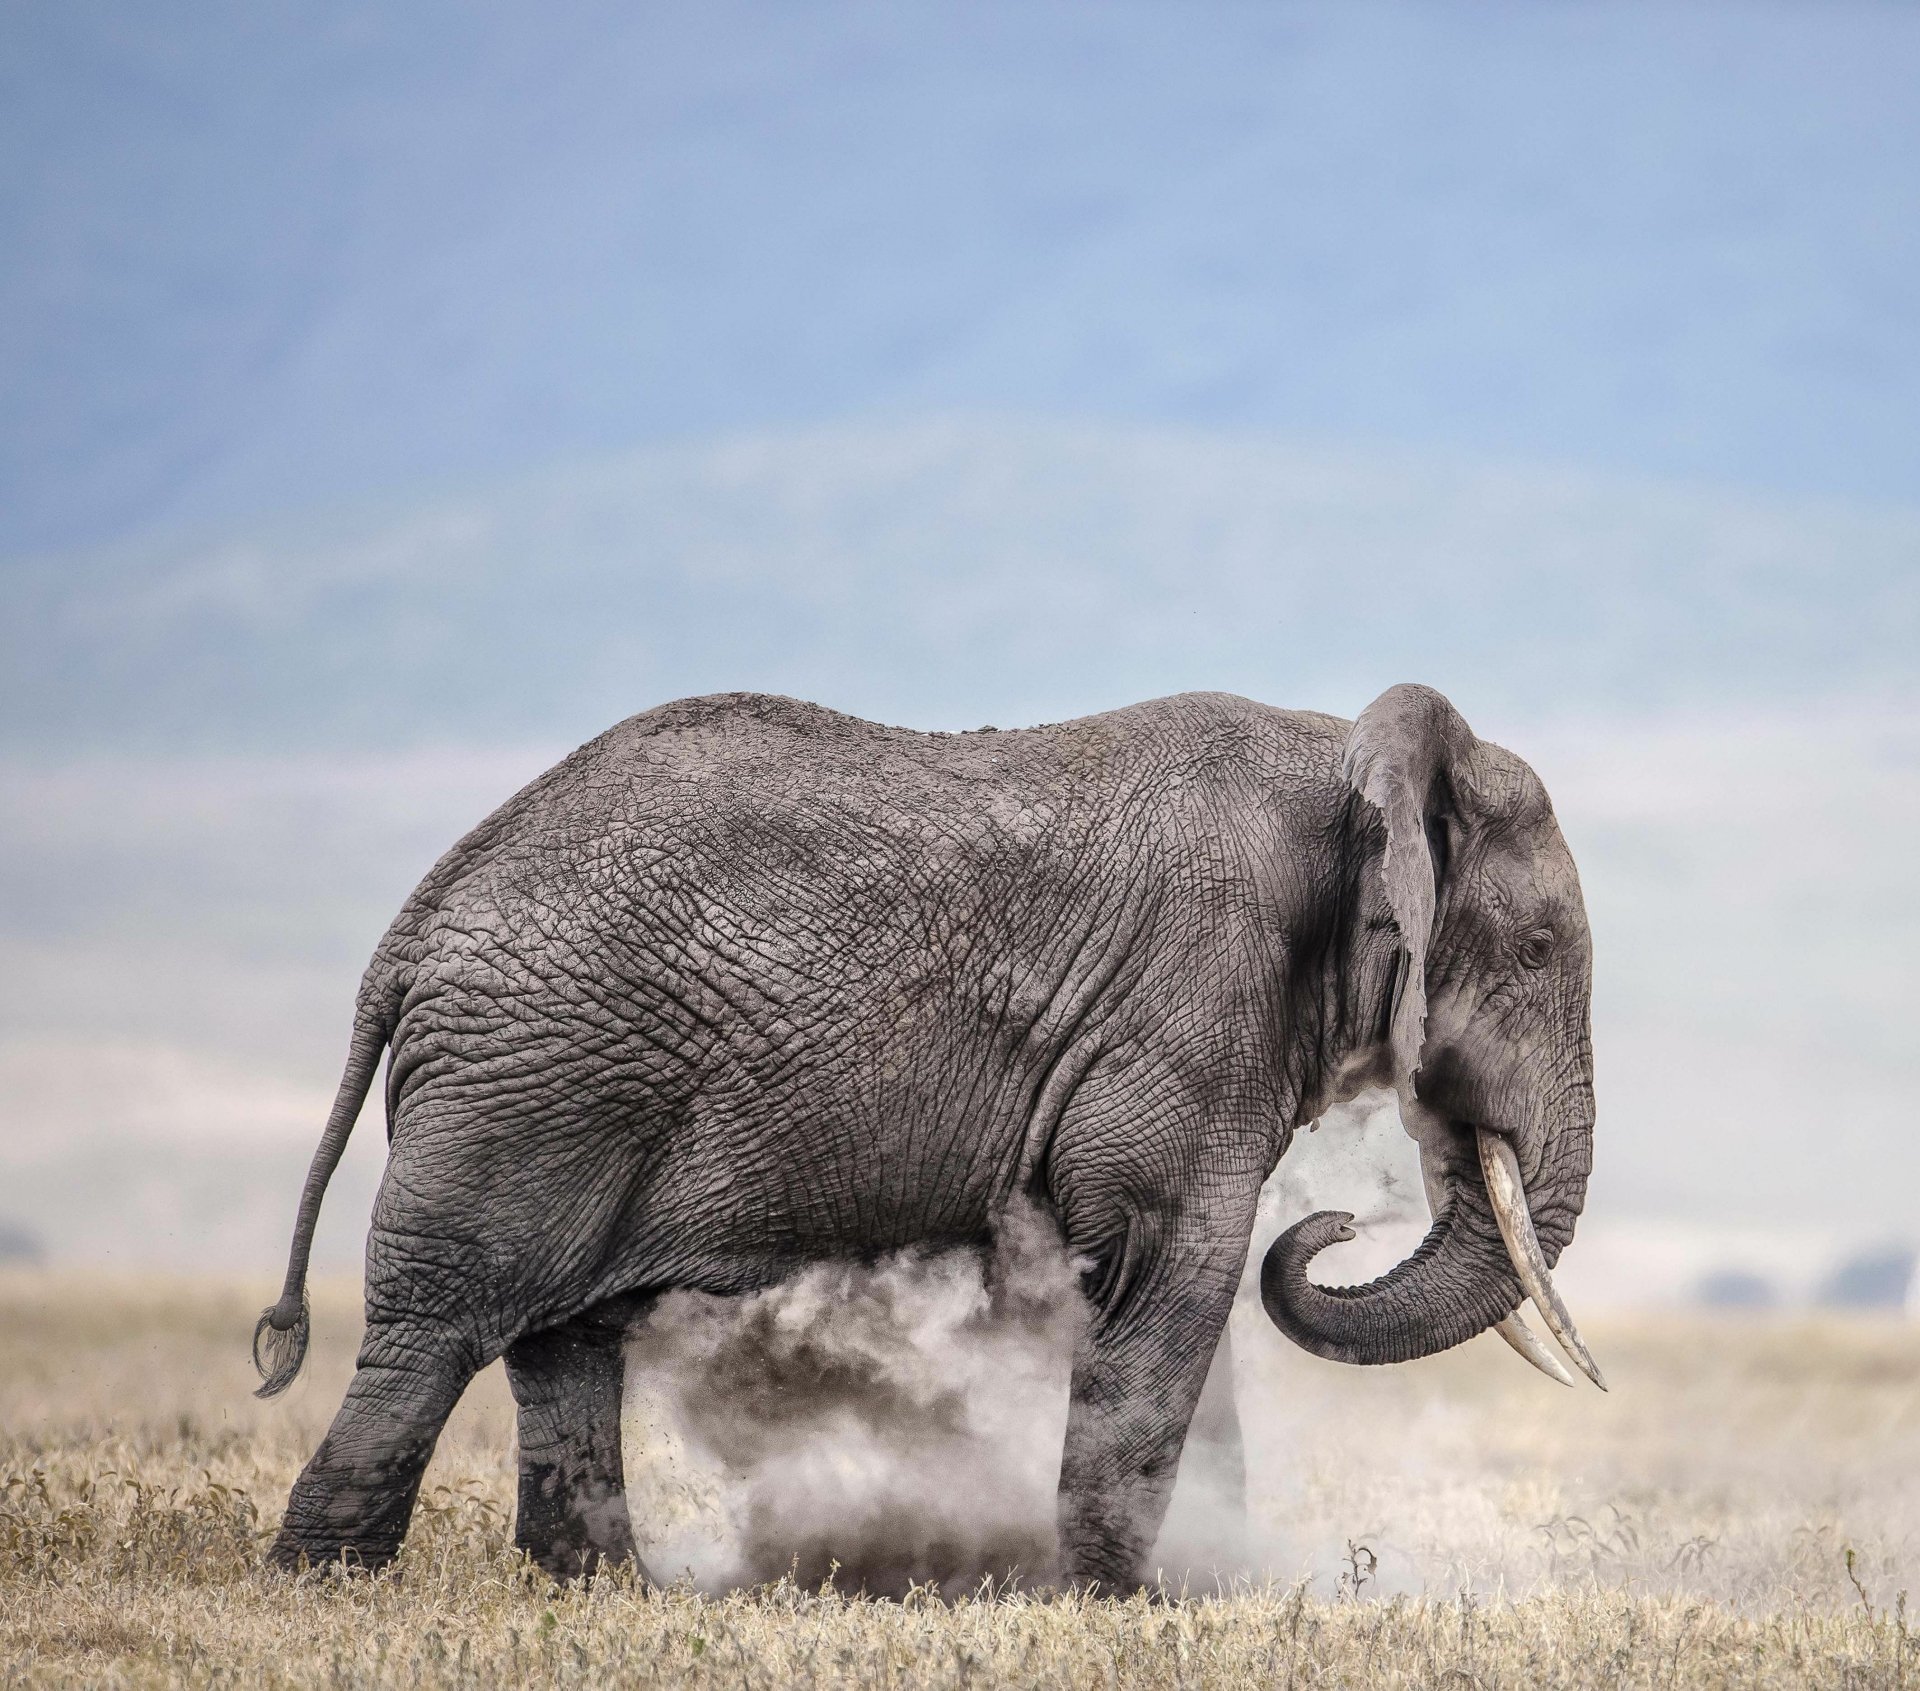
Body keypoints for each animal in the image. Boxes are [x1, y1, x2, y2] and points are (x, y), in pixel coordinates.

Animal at [253, 682, 1603, 1591]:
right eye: (1540, 951)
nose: (1335, 1223)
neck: (1347, 756)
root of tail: (412, 925)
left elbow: (1164, 1293)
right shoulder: (1196, 1000)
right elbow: (1177, 1265)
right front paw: (1121, 1602)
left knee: (559, 1341)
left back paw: (603, 1591)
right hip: (531, 1085)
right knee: (439, 1327)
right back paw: (326, 1582)